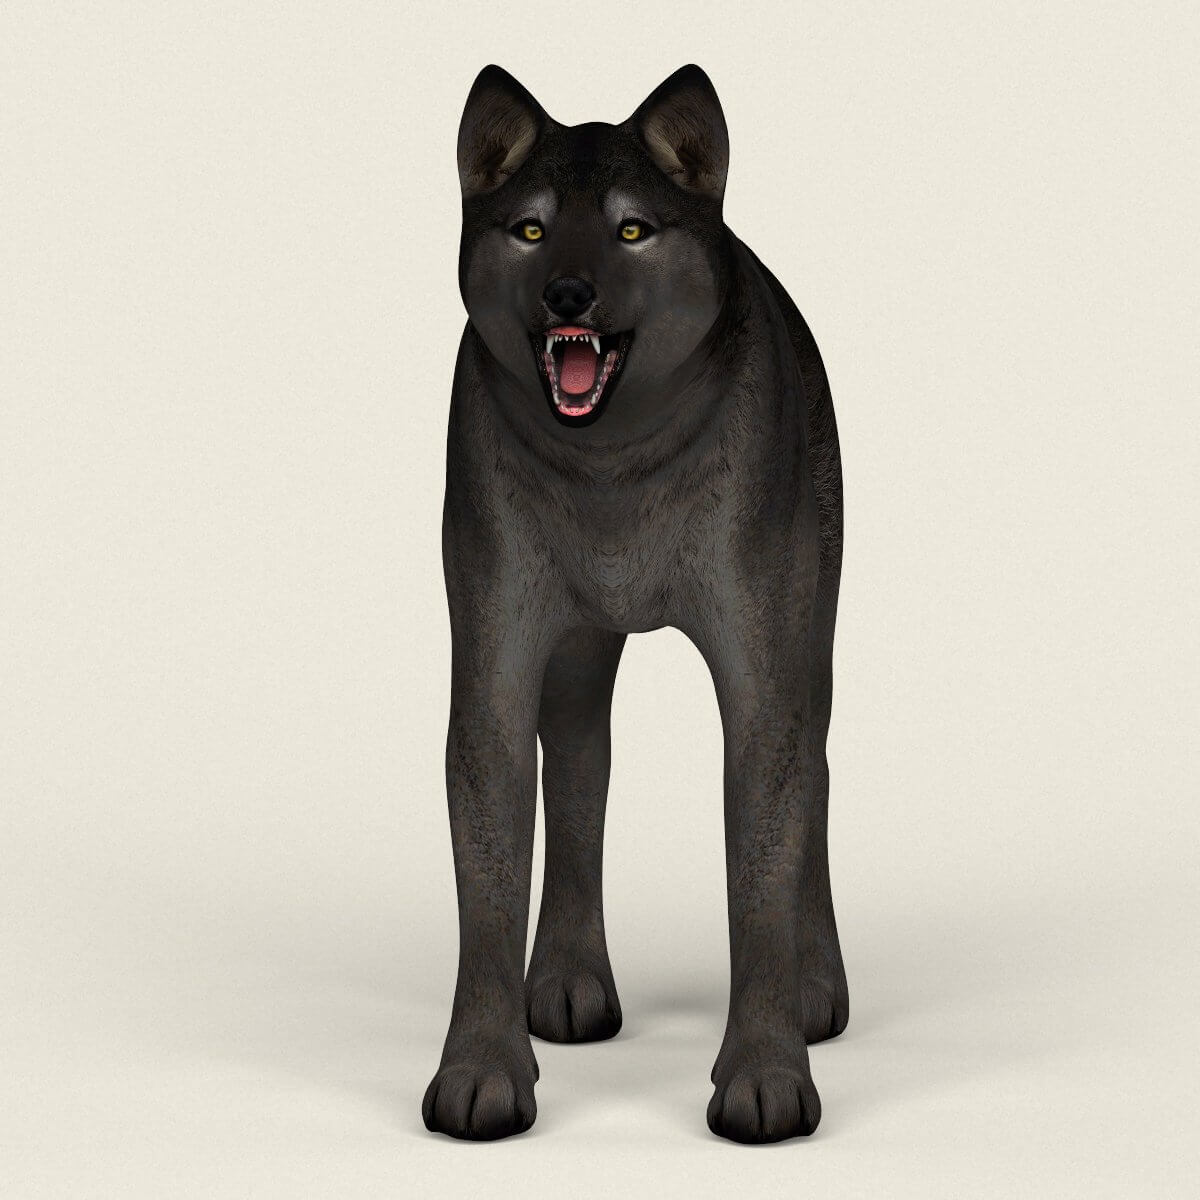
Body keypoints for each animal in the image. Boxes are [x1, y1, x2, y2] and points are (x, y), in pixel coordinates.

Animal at [422, 64, 847, 1144]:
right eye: (531, 229)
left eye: (630, 230)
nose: (569, 292)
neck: (610, 470)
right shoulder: (494, 662)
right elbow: (488, 876)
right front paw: (479, 1076)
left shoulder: (763, 677)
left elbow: (760, 872)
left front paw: (767, 1080)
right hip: (576, 649)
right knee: (579, 769)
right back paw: (571, 985)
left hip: (813, 636)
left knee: (820, 773)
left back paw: (820, 988)